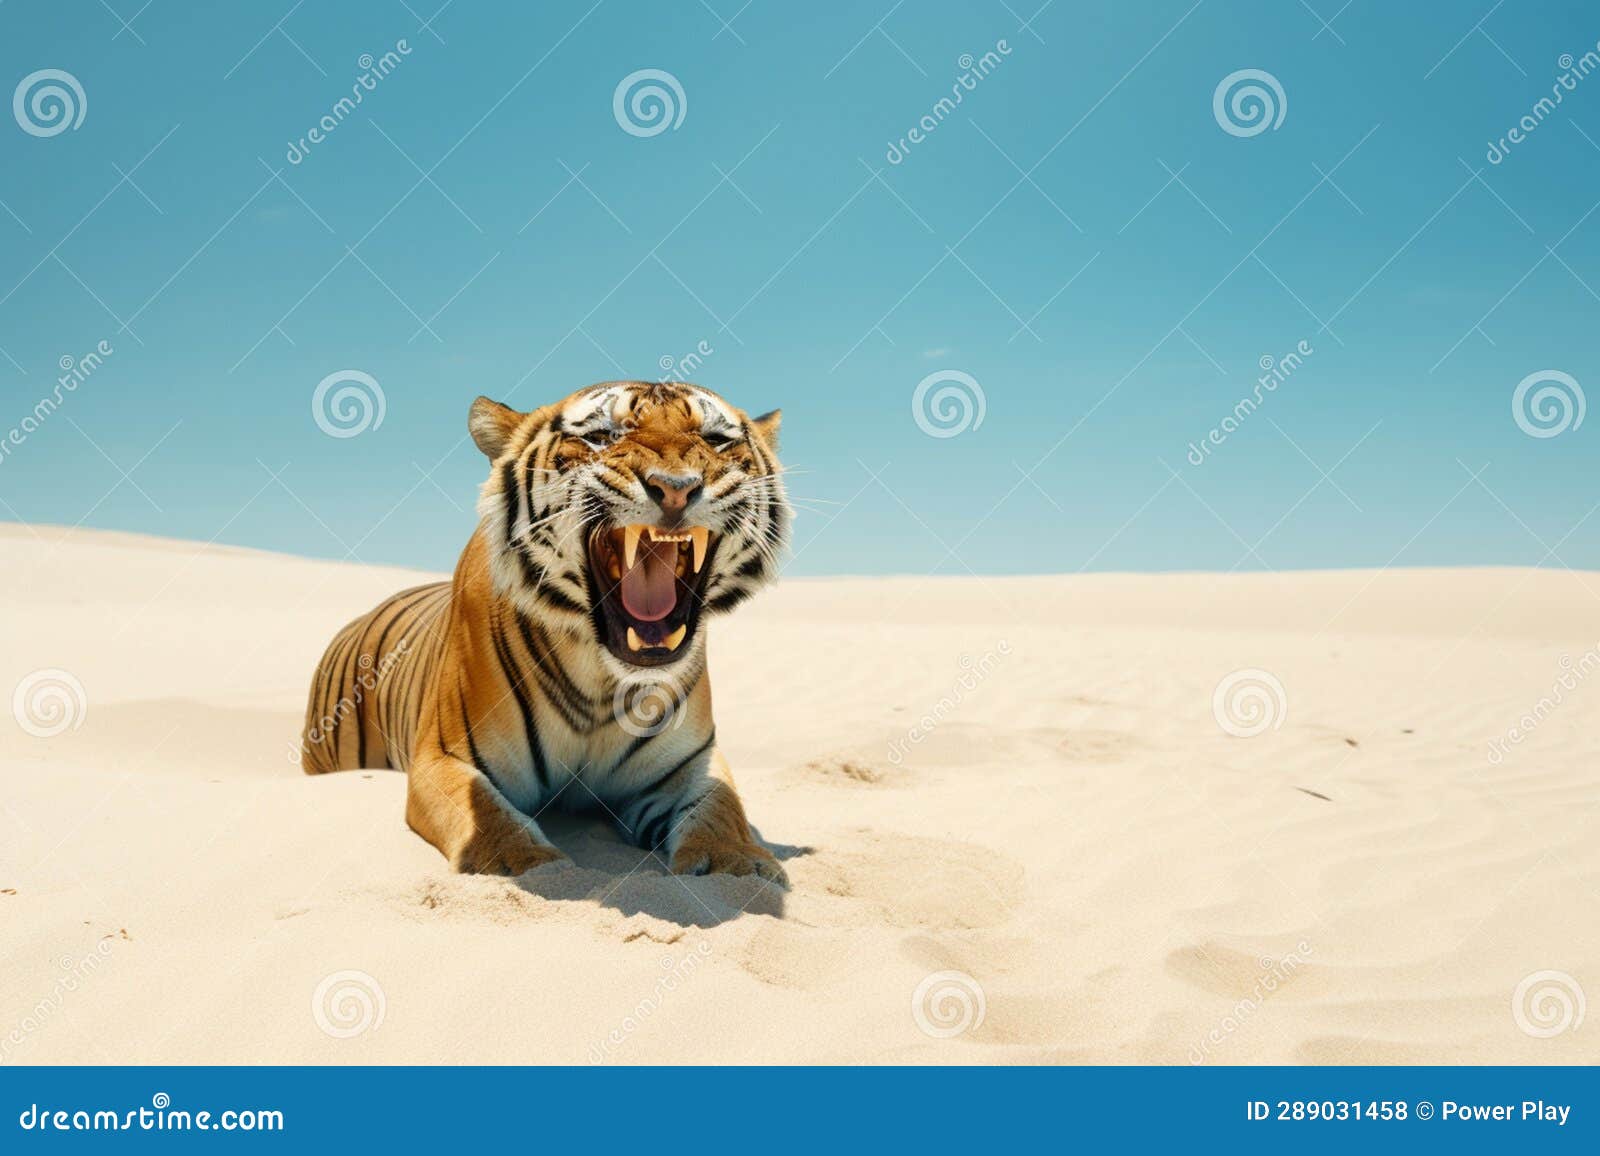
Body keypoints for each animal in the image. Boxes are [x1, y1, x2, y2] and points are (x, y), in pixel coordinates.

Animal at [299, 380, 791, 886]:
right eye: (601, 436)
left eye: (715, 440)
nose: (676, 488)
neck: (602, 679)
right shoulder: (447, 758)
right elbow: (492, 818)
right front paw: (524, 863)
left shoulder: (690, 763)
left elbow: (719, 810)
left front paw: (735, 863)